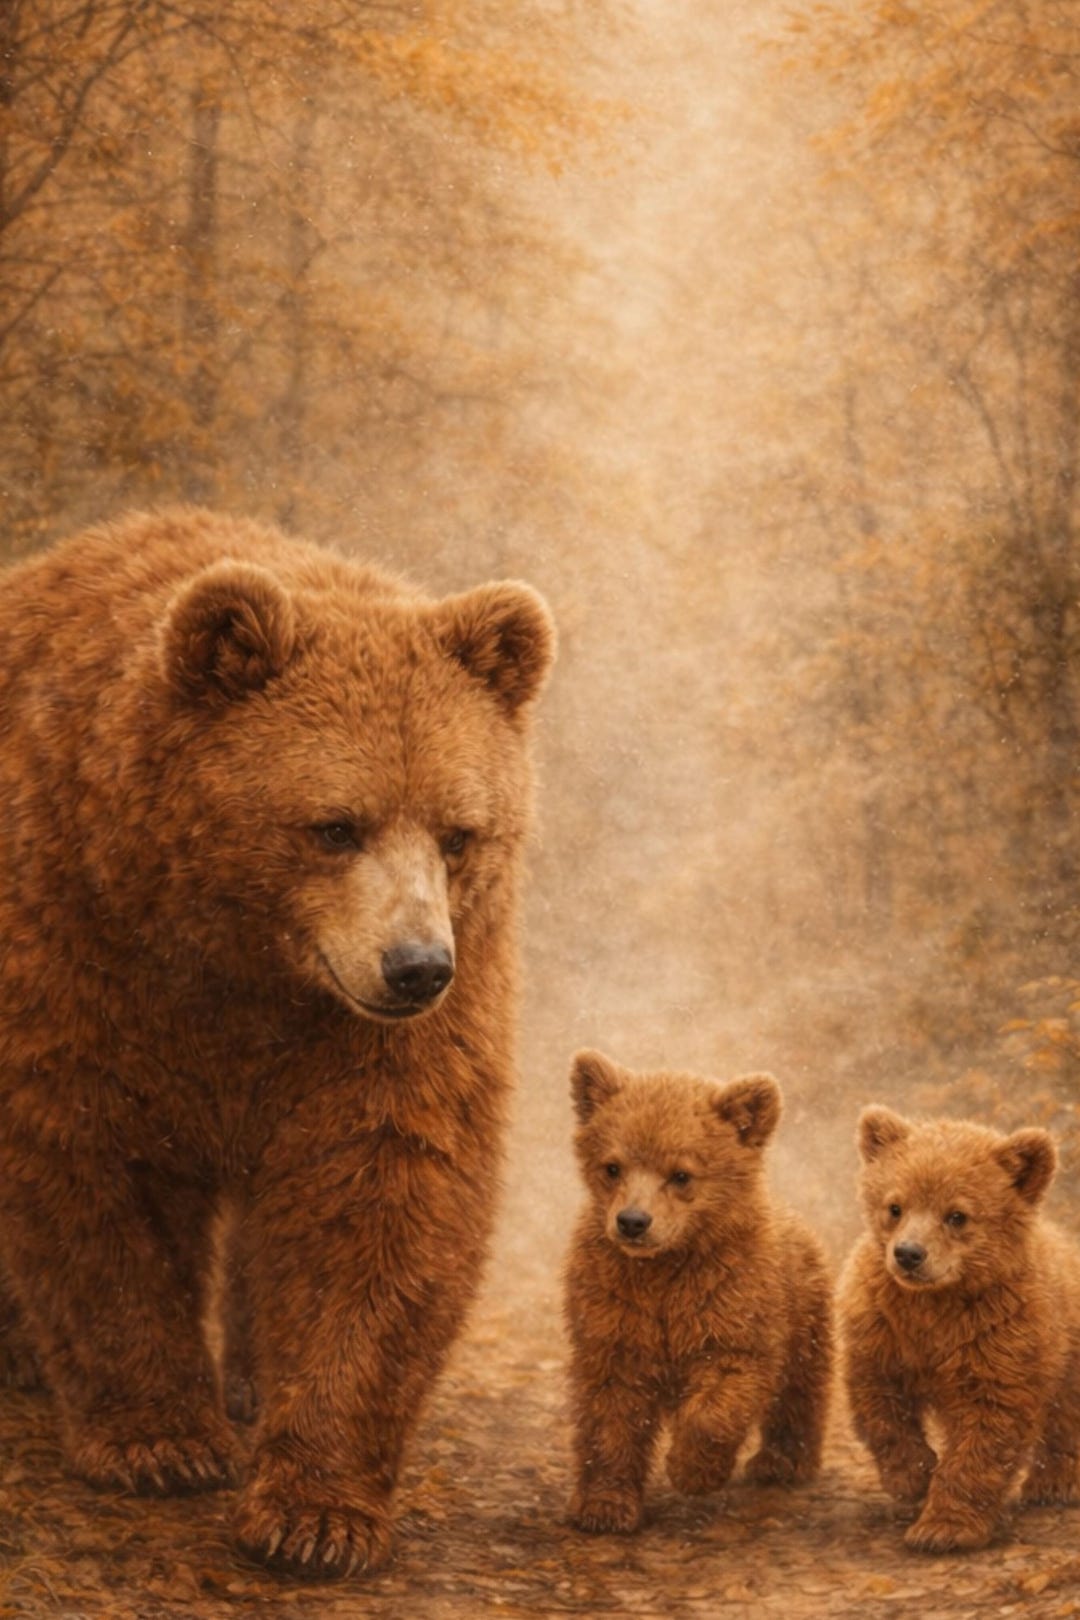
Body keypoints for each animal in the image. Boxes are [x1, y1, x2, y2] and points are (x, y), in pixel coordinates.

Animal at [0, 507, 555, 1578]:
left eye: (458, 832)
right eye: (335, 826)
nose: (415, 967)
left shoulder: (385, 1031)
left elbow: (380, 1190)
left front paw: (316, 1512)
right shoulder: (72, 934)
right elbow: (87, 1159)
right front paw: (160, 1440)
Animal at [563, 1050, 834, 1533]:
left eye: (681, 1174)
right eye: (612, 1166)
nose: (633, 1221)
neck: (665, 1267)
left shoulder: (729, 1302)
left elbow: (725, 1391)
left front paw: (691, 1470)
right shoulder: (613, 1308)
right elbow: (609, 1407)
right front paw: (604, 1505)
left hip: (806, 1313)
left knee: (802, 1387)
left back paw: (782, 1461)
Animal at [841, 1106, 1080, 1553]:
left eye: (957, 1215)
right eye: (895, 1206)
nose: (909, 1254)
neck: (937, 1303)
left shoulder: (1001, 1334)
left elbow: (988, 1426)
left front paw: (942, 1528)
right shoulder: (881, 1324)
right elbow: (877, 1399)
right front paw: (913, 1476)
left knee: (1066, 1414)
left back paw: (1056, 1482)